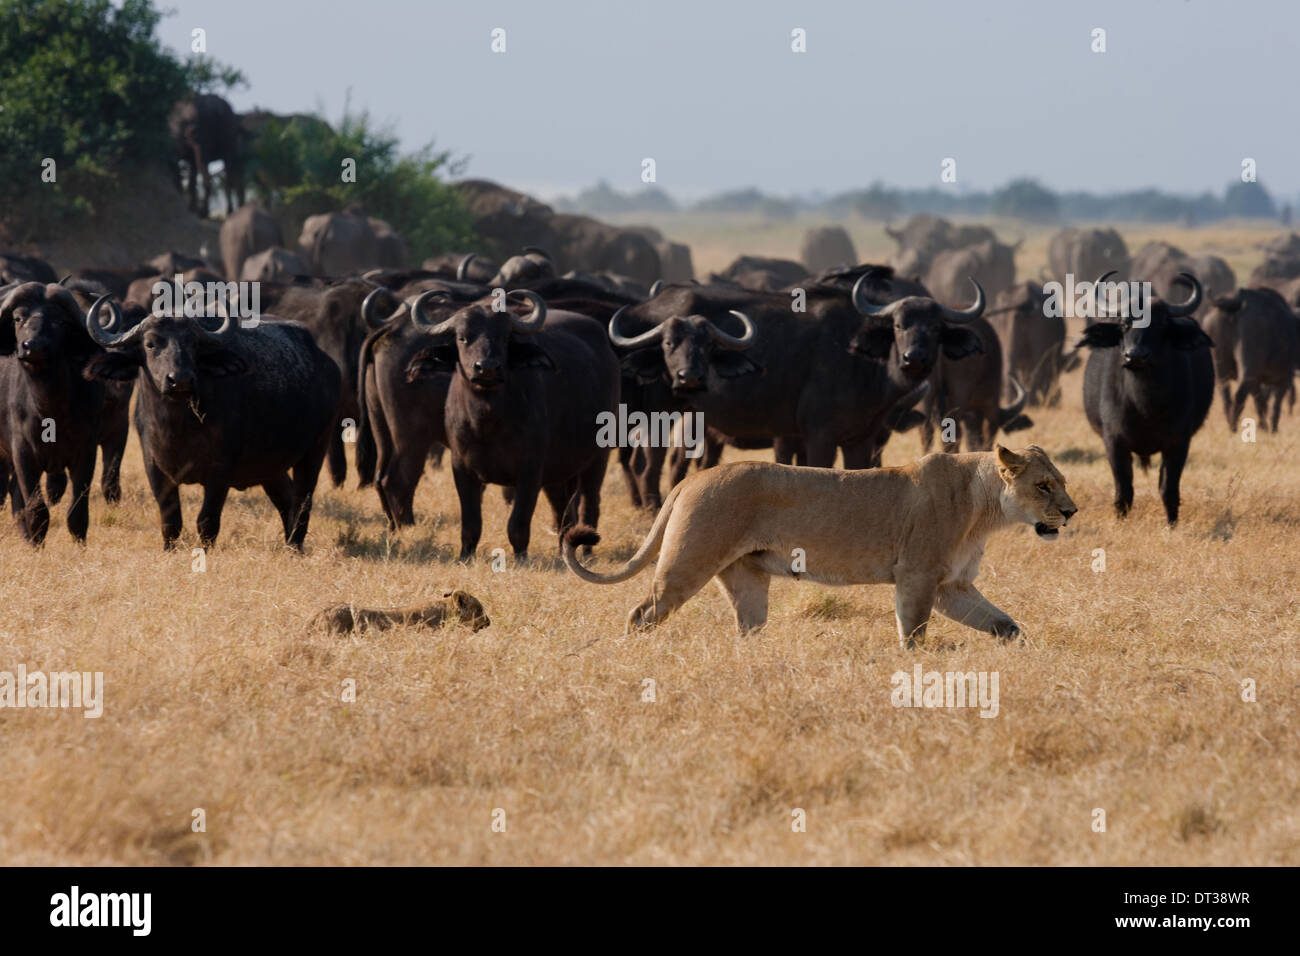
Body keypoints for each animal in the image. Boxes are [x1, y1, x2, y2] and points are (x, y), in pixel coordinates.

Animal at [563, 444, 1076, 647]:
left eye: (1062, 483)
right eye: (1044, 486)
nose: (1071, 512)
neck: (985, 507)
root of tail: (692, 479)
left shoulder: (952, 585)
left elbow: (1004, 623)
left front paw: (1027, 653)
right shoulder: (918, 575)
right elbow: (913, 631)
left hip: (746, 578)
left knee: (747, 629)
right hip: (685, 564)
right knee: (641, 613)